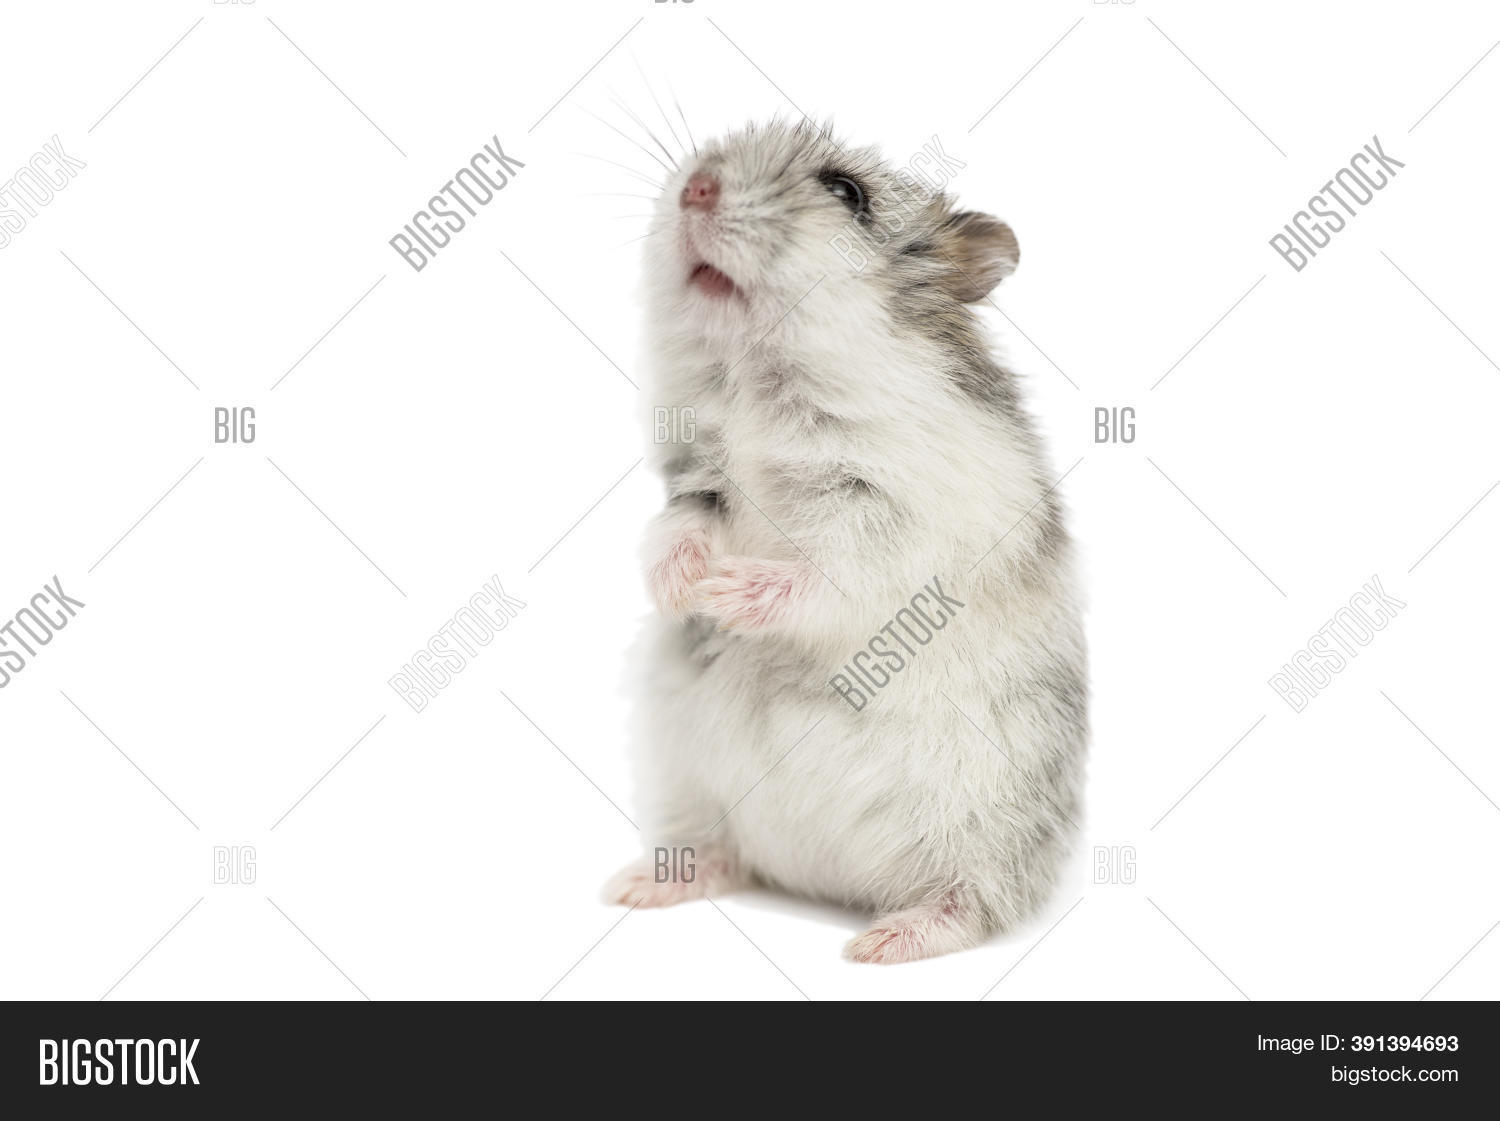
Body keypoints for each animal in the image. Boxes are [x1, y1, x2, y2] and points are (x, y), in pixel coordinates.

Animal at [604, 118, 1088, 964]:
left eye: (845, 191)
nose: (695, 186)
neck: (753, 381)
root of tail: (825, 878)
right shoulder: (693, 479)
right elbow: (674, 528)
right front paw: (685, 585)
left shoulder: (893, 524)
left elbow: (830, 576)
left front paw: (729, 590)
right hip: (682, 777)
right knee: (722, 851)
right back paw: (641, 884)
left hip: (987, 820)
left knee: (974, 900)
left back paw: (883, 942)